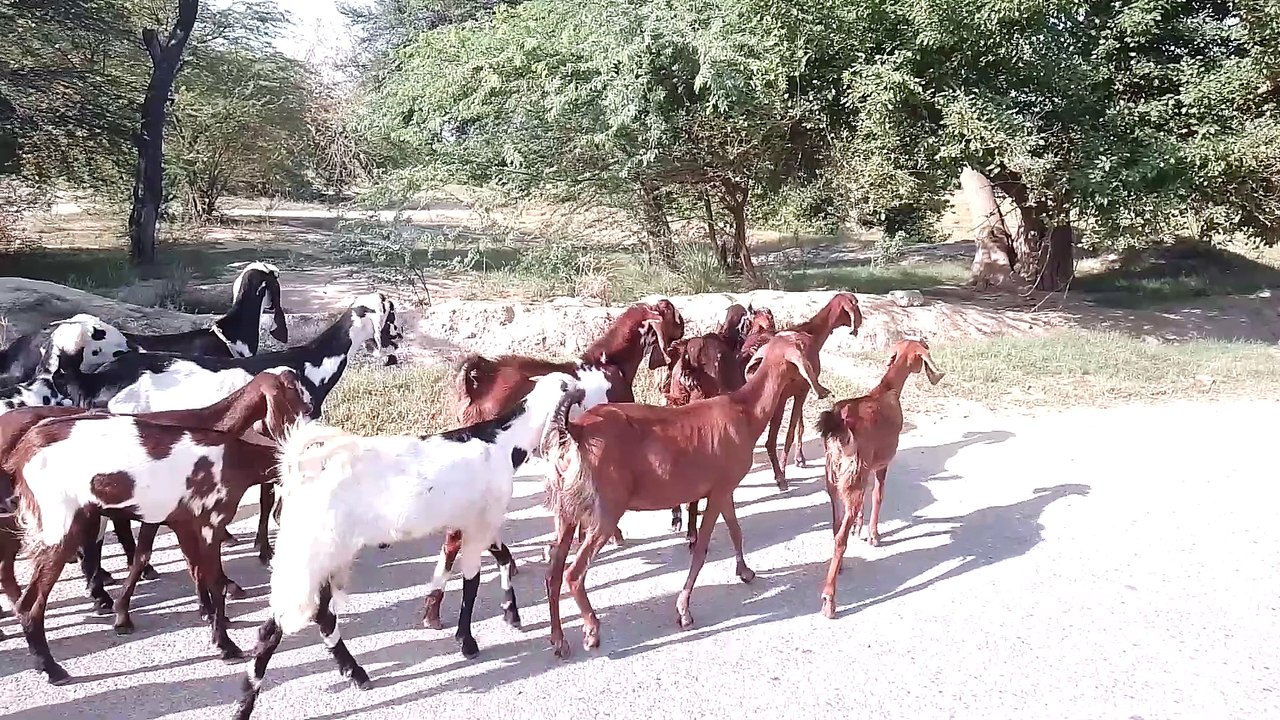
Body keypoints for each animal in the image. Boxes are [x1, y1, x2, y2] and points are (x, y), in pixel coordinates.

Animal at [6, 370, 310, 685]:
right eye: (294, 394)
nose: (310, 413)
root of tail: (24, 450)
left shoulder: (180, 522)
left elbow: (187, 568)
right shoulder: (209, 524)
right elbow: (212, 581)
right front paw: (225, 644)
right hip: (59, 528)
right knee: (31, 602)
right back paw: (52, 667)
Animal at [231, 373, 585, 720]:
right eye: (572, 389)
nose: (584, 398)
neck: (503, 442)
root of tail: (301, 473)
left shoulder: (473, 521)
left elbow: (497, 557)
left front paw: (509, 613)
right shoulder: (480, 522)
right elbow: (472, 580)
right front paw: (468, 642)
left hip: (320, 558)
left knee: (314, 617)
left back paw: (347, 675)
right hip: (313, 554)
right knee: (286, 624)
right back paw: (252, 702)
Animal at [541, 332, 830, 657]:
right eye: (805, 347)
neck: (744, 411)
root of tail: (574, 432)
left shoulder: (723, 488)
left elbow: (736, 530)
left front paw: (745, 571)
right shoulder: (718, 490)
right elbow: (702, 547)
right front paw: (684, 609)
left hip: (566, 509)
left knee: (552, 571)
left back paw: (559, 639)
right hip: (606, 509)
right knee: (573, 573)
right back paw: (591, 630)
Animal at [814, 338, 944, 618]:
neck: (887, 390)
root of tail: (840, 424)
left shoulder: (865, 468)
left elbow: (866, 499)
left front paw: (859, 527)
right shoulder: (883, 462)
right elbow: (878, 495)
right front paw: (873, 535)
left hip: (835, 477)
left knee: (836, 524)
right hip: (852, 474)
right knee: (839, 537)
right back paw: (829, 600)